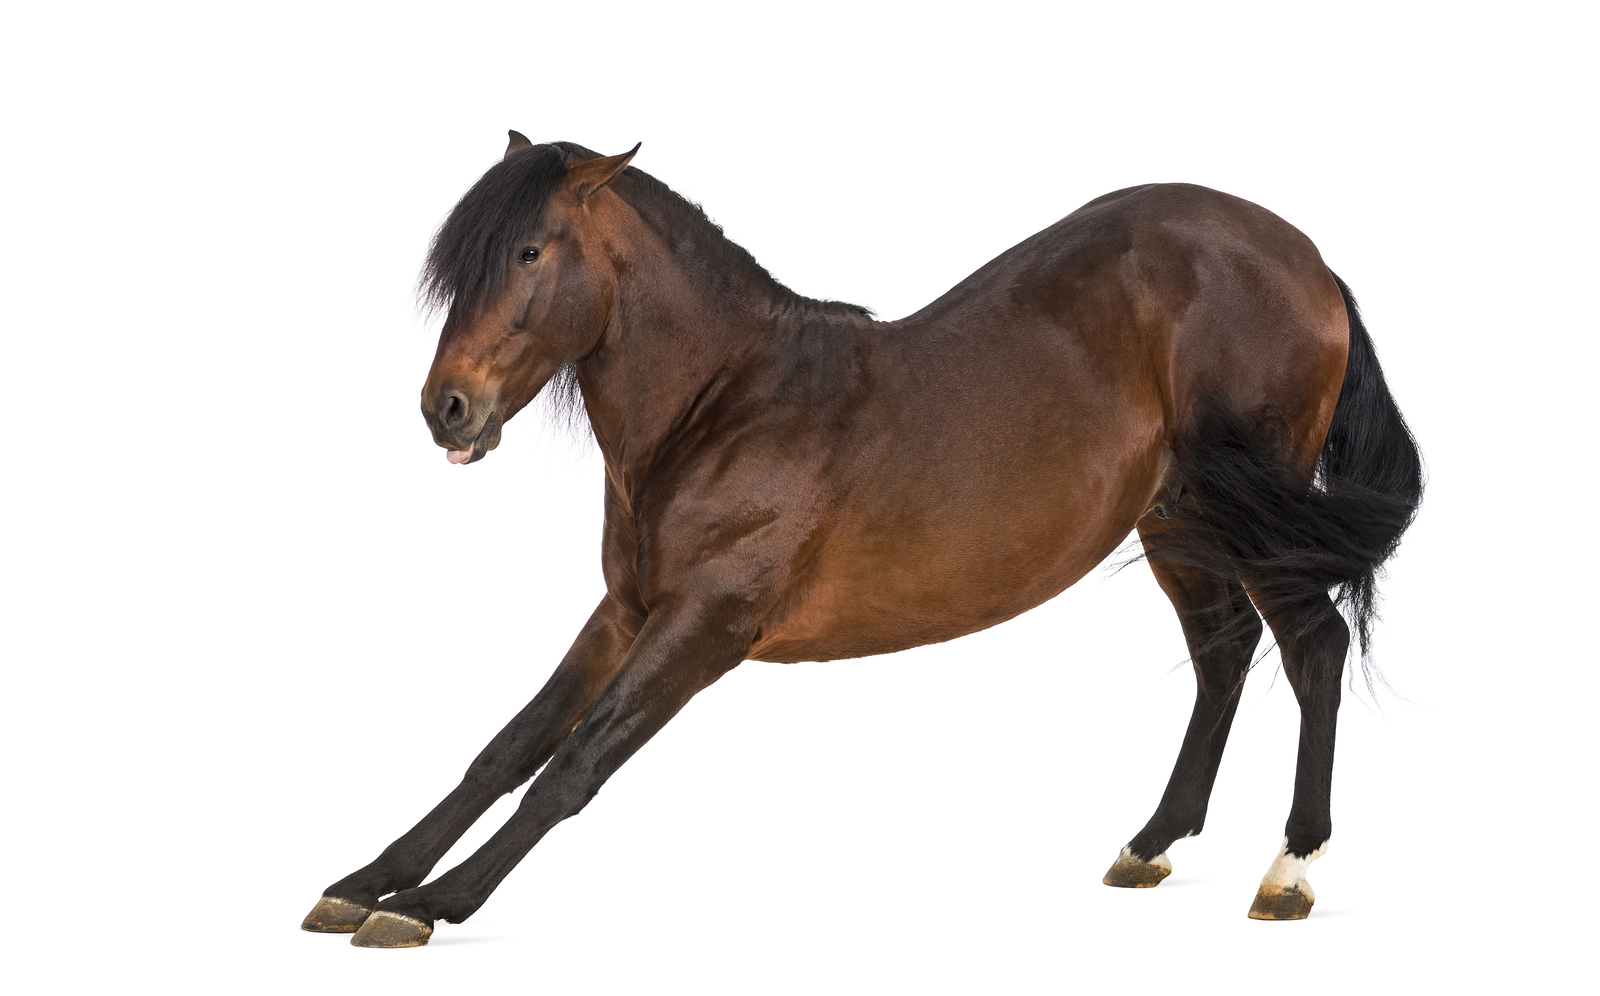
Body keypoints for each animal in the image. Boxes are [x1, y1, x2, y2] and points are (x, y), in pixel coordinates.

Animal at [302, 134, 1422, 947]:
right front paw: (365, 883)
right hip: (1181, 523)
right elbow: (506, 747)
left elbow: (574, 763)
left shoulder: (705, 626)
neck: (725, 405)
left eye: (529, 252)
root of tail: (1310, 262)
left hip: (1254, 517)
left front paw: (432, 905)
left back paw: (1289, 872)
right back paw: (1146, 848)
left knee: (1312, 649)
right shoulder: (626, 614)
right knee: (1223, 656)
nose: (445, 409)